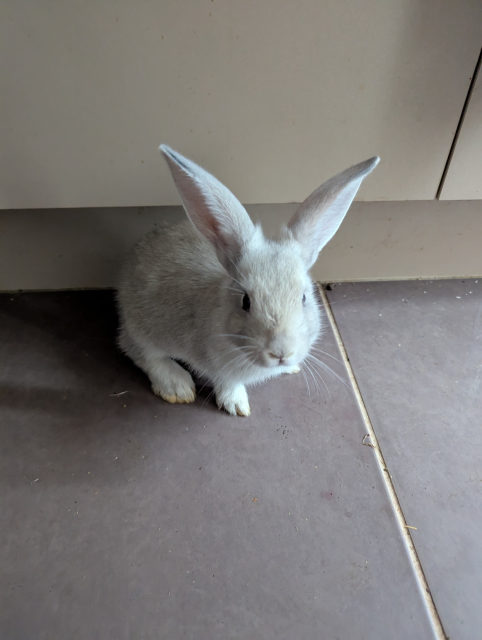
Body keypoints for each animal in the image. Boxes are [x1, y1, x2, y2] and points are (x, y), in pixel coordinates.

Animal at [117, 145, 379, 416]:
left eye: (304, 298)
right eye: (246, 301)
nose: (281, 353)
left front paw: (290, 367)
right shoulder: (218, 366)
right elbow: (228, 383)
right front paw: (237, 405)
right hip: (144, 328)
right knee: (135, 348)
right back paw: (176, 387)